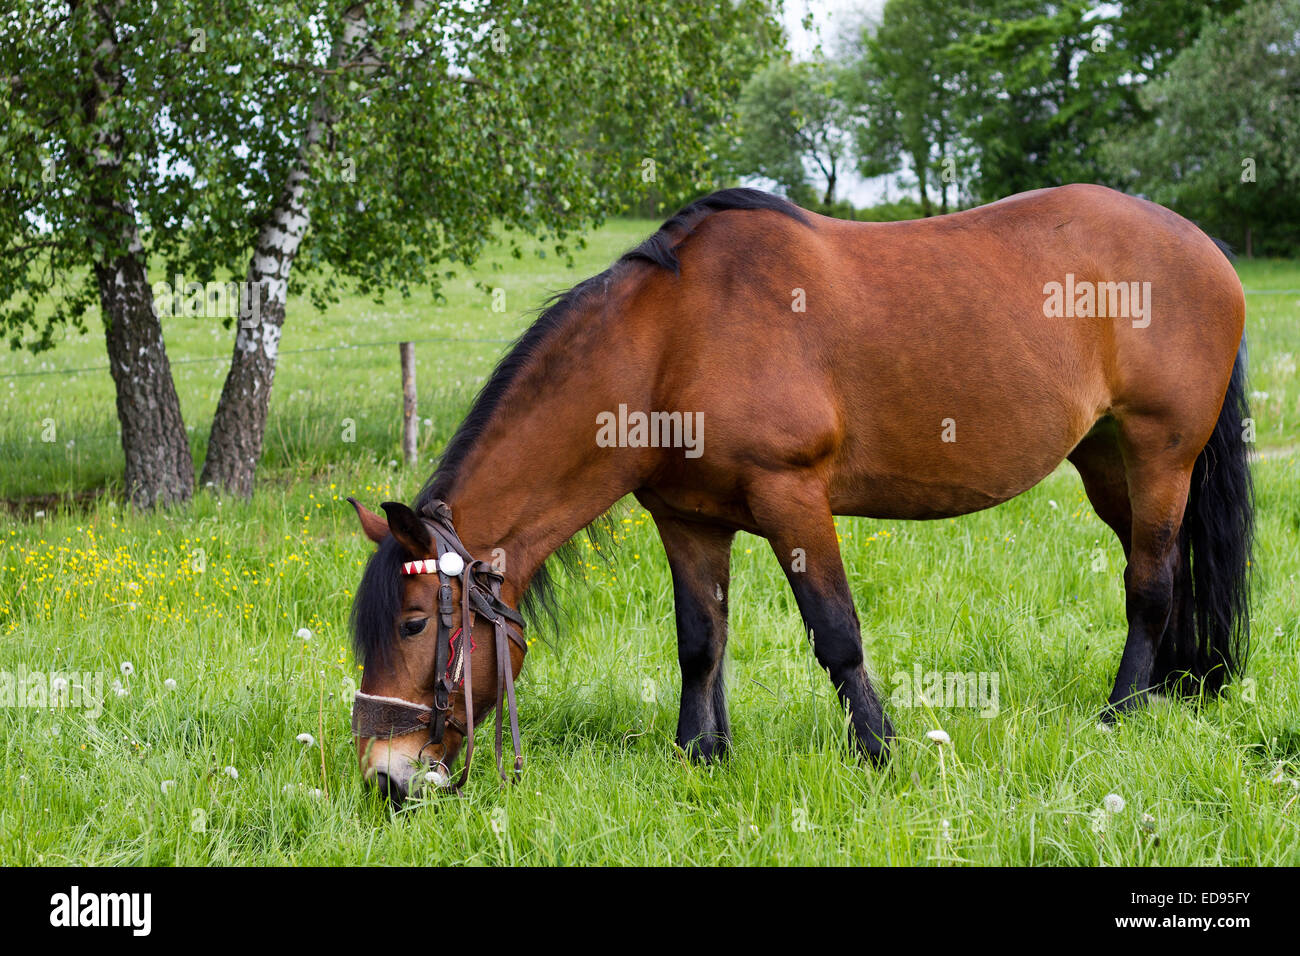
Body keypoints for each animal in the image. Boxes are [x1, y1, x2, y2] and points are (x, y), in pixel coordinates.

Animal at [347, 184, 1252, 805]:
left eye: (415, 623)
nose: (386, 779)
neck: (668, 344)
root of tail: (1206, 247)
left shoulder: (793, 501)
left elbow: (836, 635)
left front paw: (881, 753)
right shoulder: (687, 521)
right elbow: (700, 643)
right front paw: (699, 757)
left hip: (1160, 455)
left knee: (1150, 586)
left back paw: (1121, 713)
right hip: (1106, 464)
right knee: (1163, 574)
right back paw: (1172, 688)